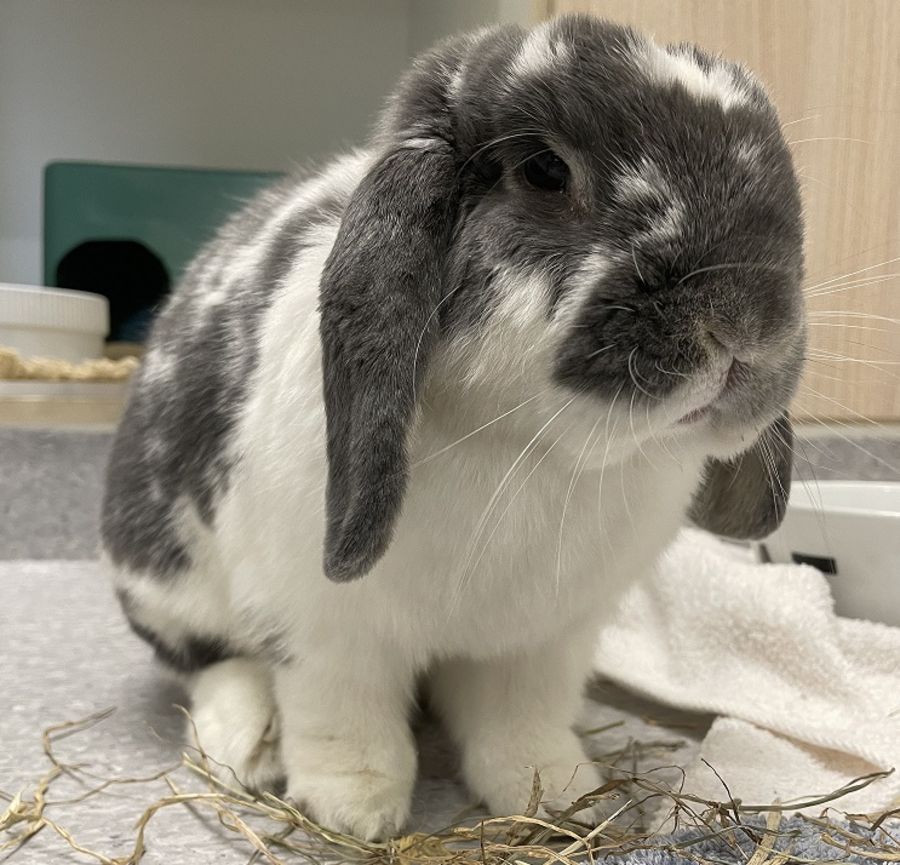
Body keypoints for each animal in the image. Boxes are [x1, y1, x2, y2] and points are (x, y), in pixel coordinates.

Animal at [101, 14, 805, 841]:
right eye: (544, 170)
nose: (749, 323)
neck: (530, 447)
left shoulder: (542, 641)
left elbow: (517, 723)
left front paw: (556, 791)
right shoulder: (326, 628)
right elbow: (344, 713)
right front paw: (355, 809)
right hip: (165, 581)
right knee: (208, 662)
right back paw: (246, 741)